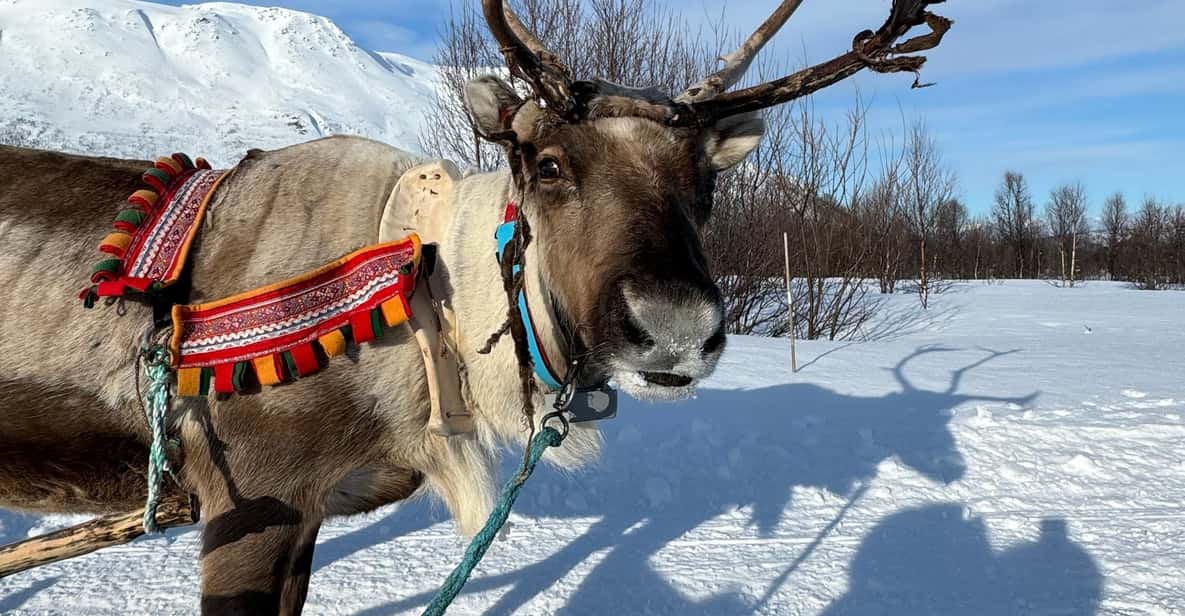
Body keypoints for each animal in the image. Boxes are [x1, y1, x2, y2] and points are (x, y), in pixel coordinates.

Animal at [0, 1, 950, 613]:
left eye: (706, 182)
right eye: (547, 163)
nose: (675, 328)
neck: (420, 304)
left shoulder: (310, 510)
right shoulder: (251, 501)